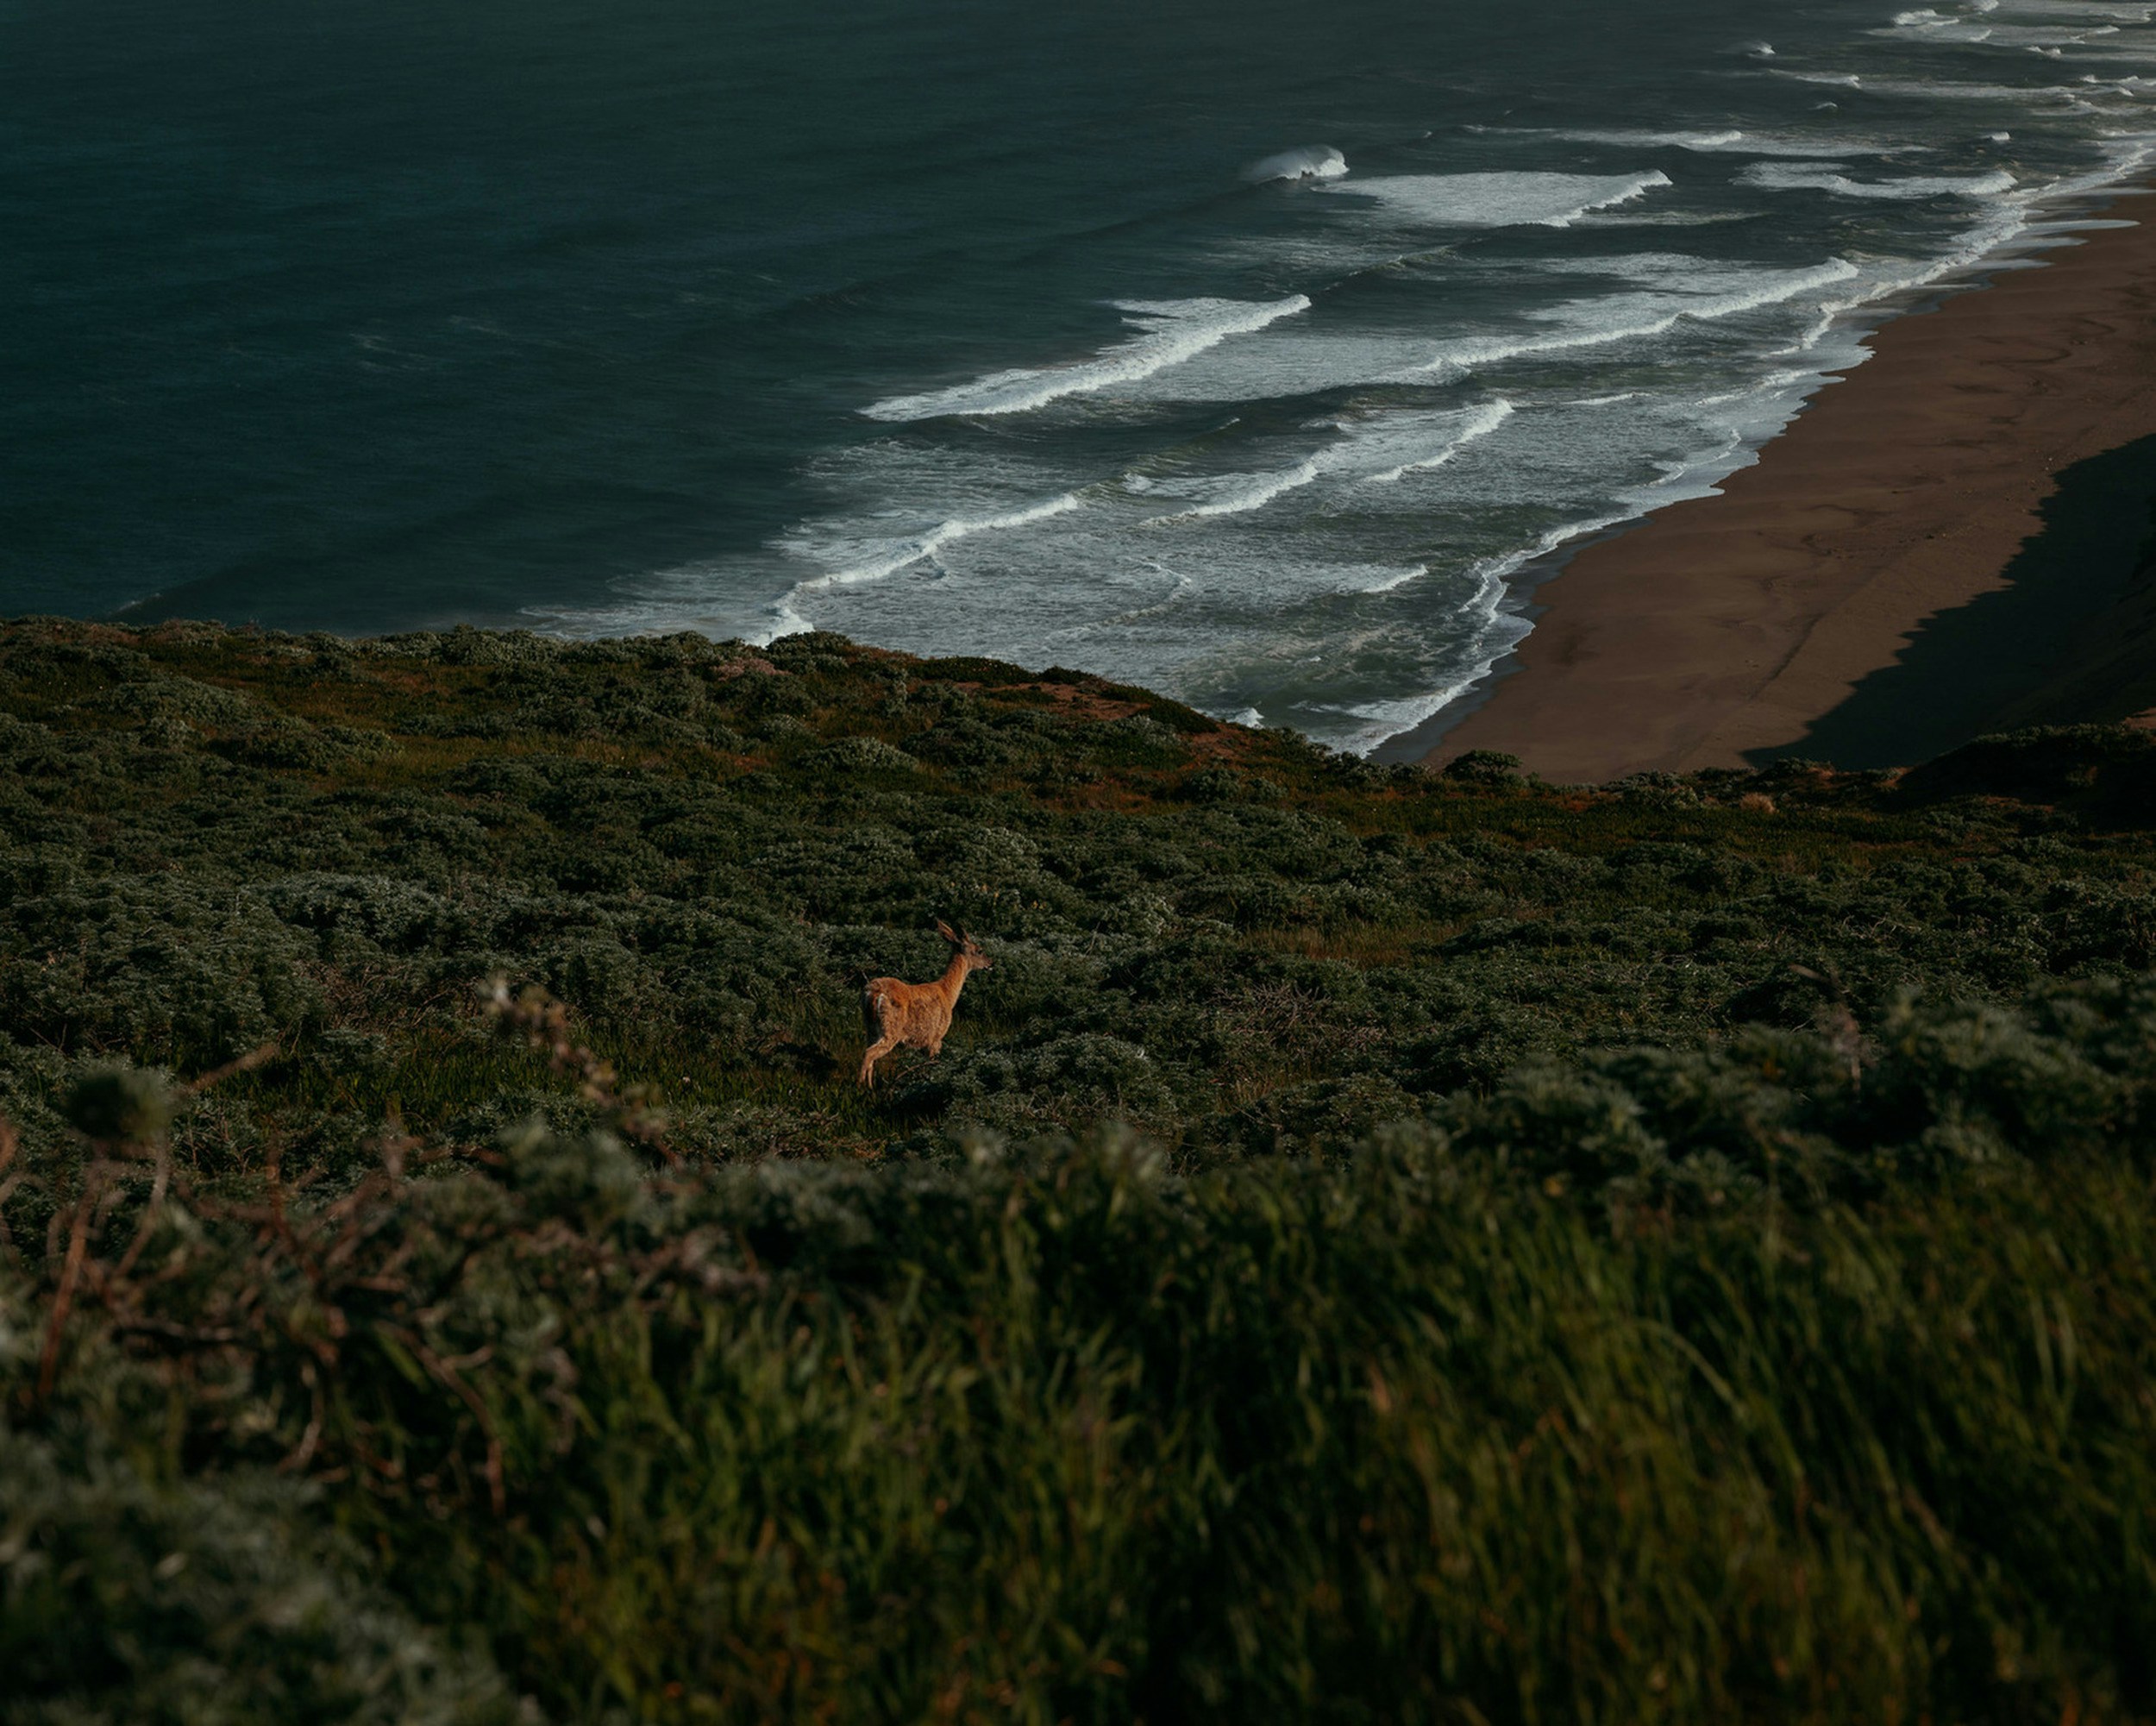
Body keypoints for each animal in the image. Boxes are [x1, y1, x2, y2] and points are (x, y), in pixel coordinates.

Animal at [858, 920, 993, 1087]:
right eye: (980, 950)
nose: (991, 962)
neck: (947, 993)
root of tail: (874, 993)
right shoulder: (936, 1037)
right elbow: (932, 1065)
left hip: (870, 1028)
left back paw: (869, 1087)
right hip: (891, 1028)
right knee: (869, 1053)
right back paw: (860, 1087)